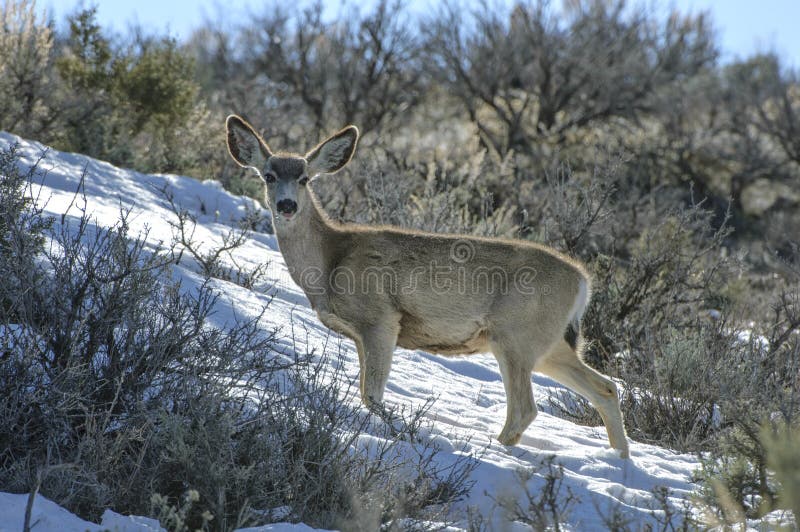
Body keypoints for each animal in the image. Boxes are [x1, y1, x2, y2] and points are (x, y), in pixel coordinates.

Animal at [225, 115, 630, 458]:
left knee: (525, 410)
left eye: (306, 178)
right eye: (268, 175)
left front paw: (399, 432)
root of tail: (582, 281)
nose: (287, 205)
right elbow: (365, 392)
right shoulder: (358, 333)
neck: (330, 260)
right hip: (548, 344)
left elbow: (371, 394)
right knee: (606, 388)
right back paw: (620, 463)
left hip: (516, 336)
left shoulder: (380, 319)